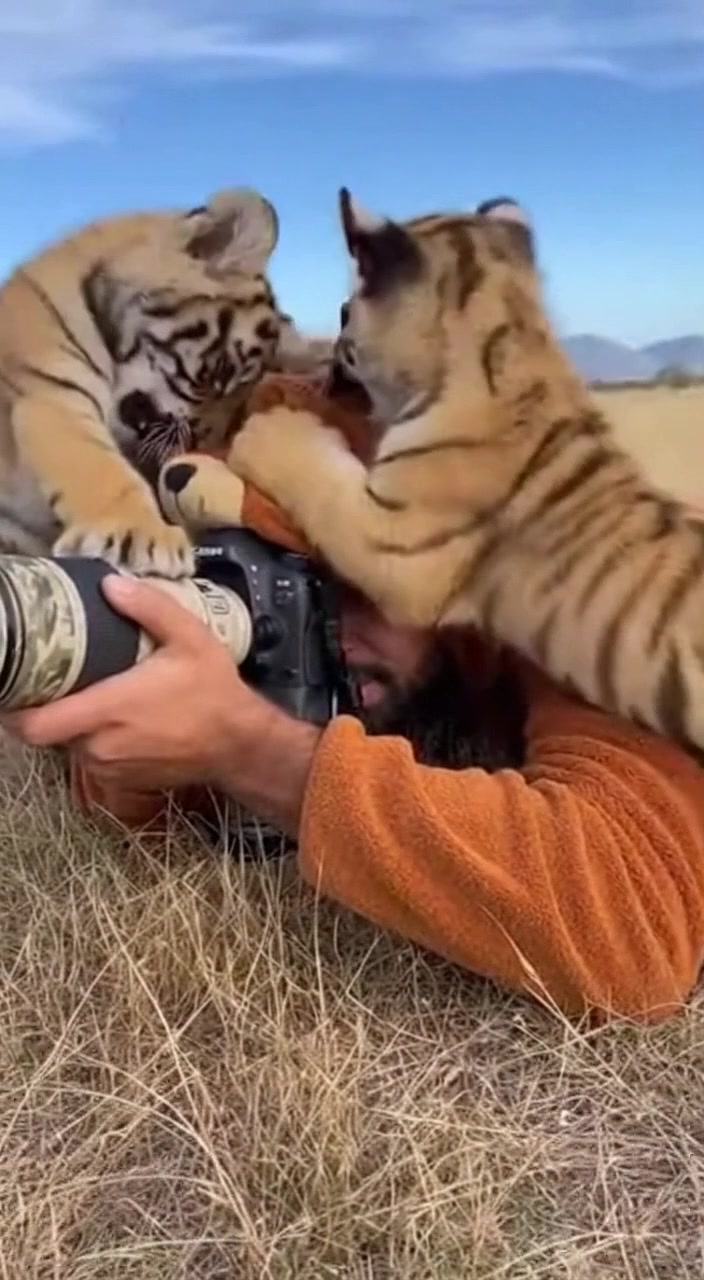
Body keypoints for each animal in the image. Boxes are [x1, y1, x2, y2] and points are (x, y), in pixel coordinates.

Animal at [0, 186, 320, 577]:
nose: (199, 439)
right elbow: (99, 465)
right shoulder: (52, 391)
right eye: (216, 375)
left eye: (233, 415)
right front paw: (141, 535)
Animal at [222, 186, 704, 754]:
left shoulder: (394, 542)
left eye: (345, 312)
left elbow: (317, 478)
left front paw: (269, 430)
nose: (329, 357)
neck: (513, 342)